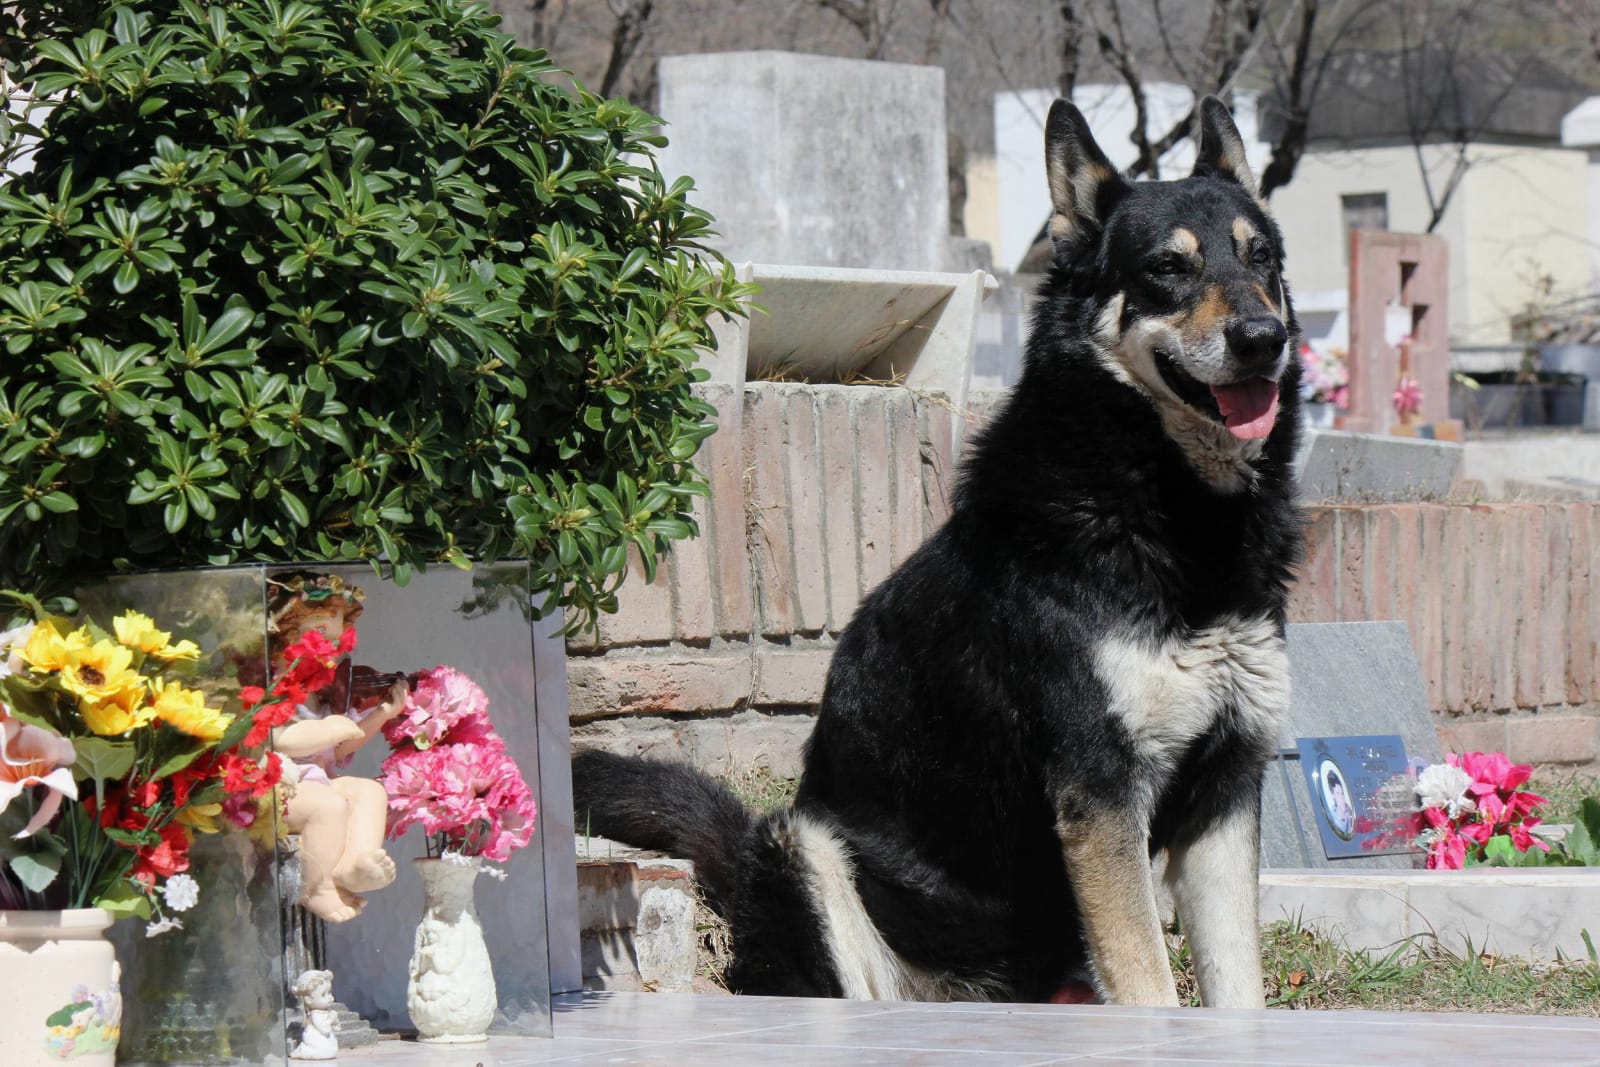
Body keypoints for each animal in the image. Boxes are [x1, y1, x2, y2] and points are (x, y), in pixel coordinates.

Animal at [576, 97, 1299, 1011]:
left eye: (1261, 255)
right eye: (1168, 268)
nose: (1263, 337)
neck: (1174, 507)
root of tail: (738, 864)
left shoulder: (1226, 791)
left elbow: (1238, 990)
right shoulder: (1102, 792)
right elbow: (1150, 986)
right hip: (807, 847)